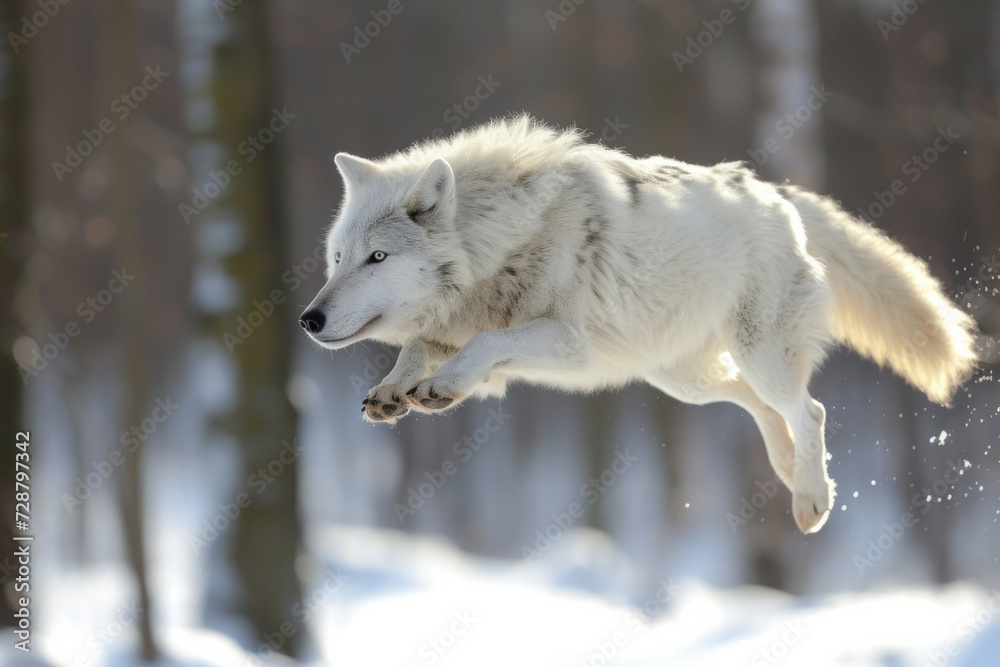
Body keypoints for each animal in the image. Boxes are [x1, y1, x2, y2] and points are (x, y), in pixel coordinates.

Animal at [300, 115, 981, 534]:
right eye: (336, 259)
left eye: (377, 258)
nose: (309, 318)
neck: (501, 243)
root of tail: (772, 190)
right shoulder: (463, 332)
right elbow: (419, 347)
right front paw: (394, 390)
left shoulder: (567, 345)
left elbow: (482, 346)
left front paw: (440, 389)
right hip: (682, 380)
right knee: (758, 404)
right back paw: (789, 474)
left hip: (753, 355)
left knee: (808, 410)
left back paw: (812, 500)